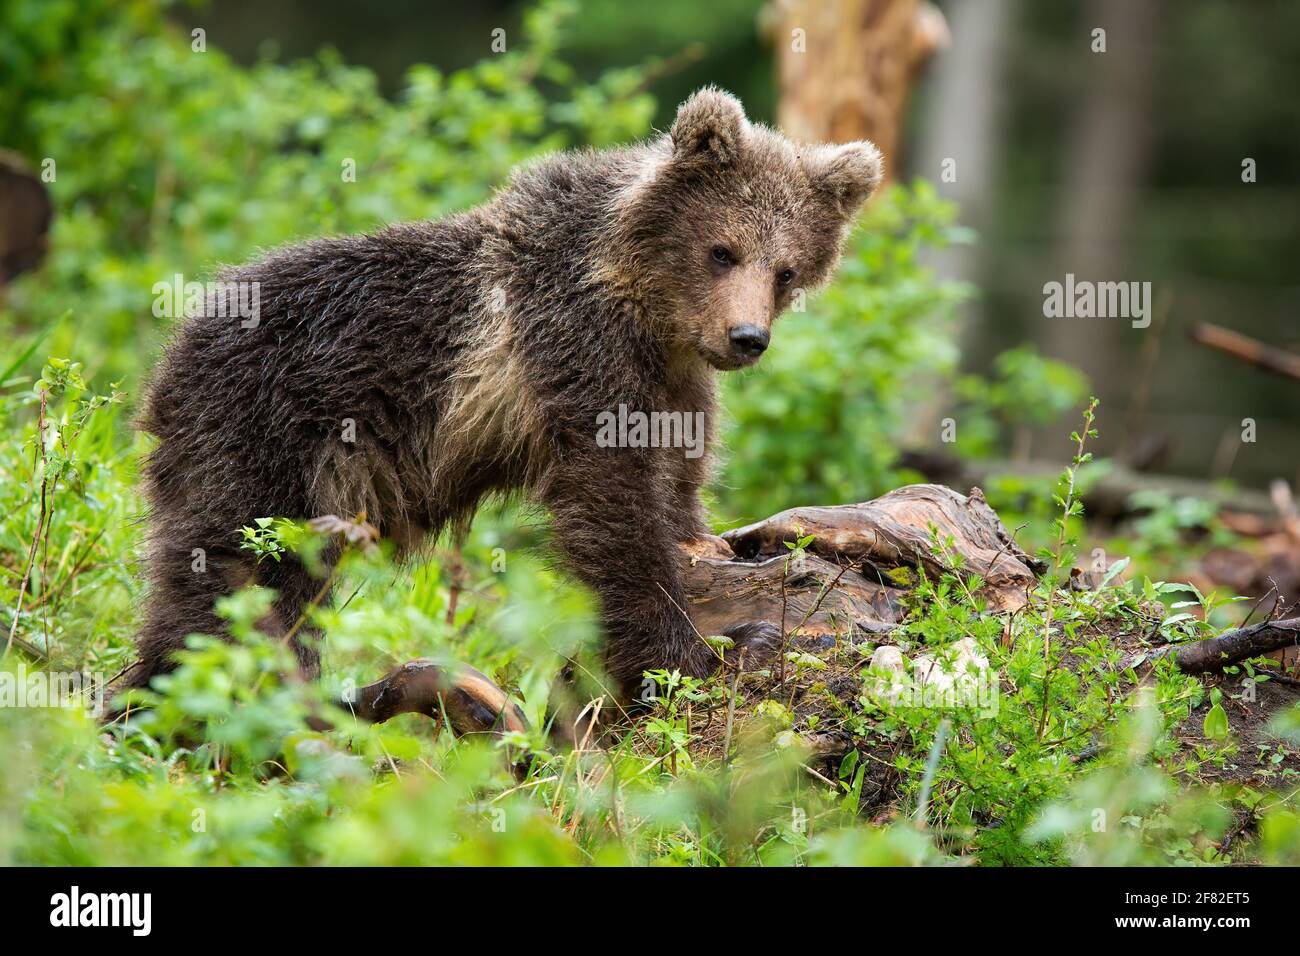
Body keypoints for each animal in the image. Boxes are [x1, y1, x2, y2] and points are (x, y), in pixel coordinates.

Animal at [117, 88, 882, 708]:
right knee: (232, 577)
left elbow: (676, 483)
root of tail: (176, 344)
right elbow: (612, 500)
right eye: (722, 250)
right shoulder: (570, 345)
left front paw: (711, 561)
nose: (746, 337)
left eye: (787, 270)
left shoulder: (677, 382)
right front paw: (686, 655)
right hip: (265, 437)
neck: (640, 305)